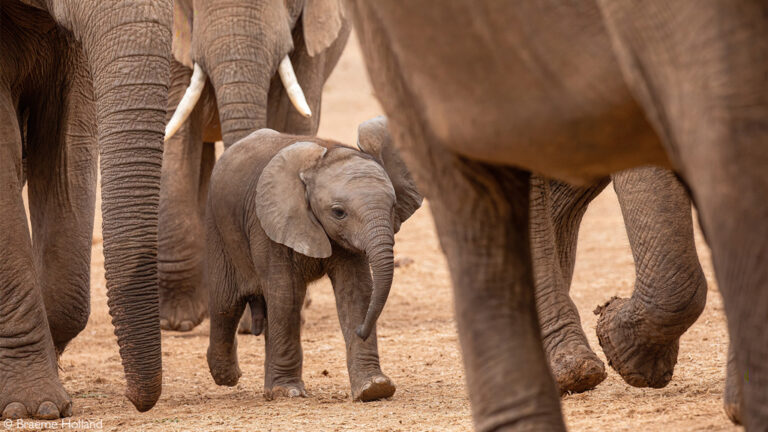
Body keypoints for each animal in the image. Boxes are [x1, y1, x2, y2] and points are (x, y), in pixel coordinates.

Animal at [204, 118, 422, 402]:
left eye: (393, 206)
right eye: (338, 212)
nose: (362, 330)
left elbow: (356, 292)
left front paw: (374, 388)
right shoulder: (268, 224)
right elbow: (286, 294)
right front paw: (289, 392)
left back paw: (266, 389)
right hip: (218, 227)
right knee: (226, 302)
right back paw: (229, 378)